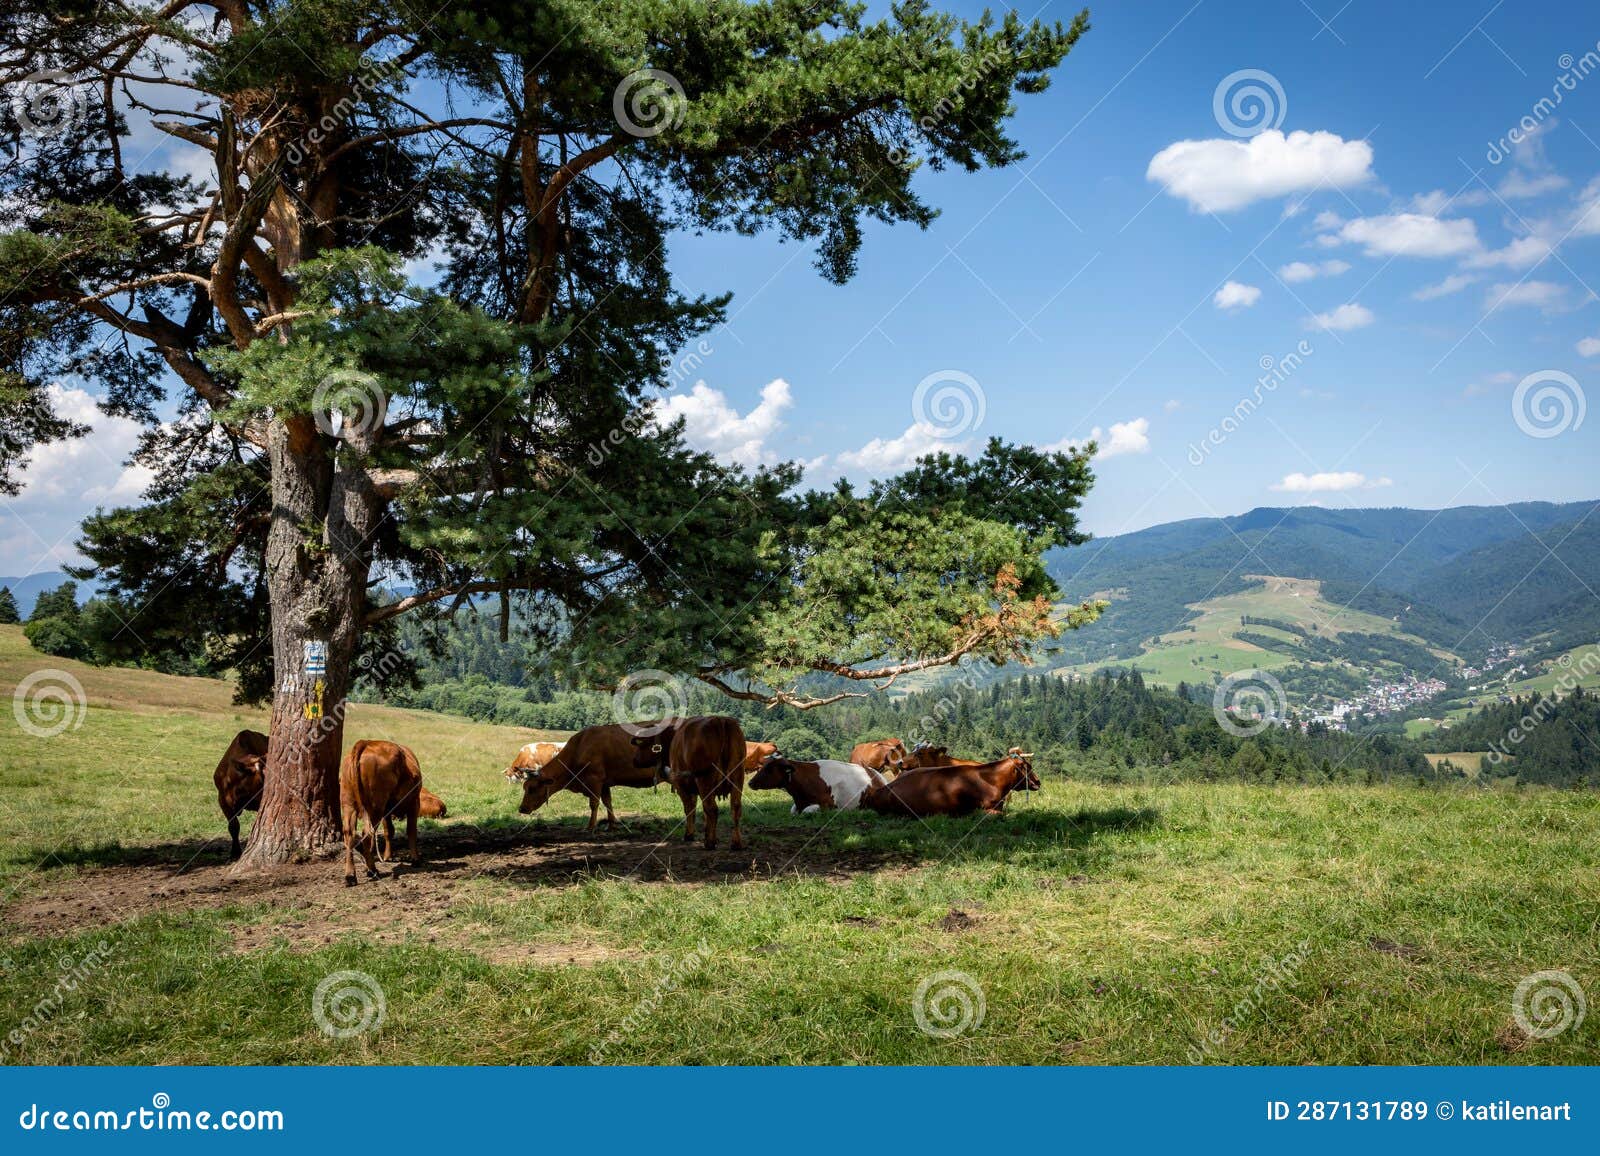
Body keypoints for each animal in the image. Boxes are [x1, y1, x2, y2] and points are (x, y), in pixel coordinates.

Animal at [340, 739, 424, 886]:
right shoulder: (414, 803)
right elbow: (411, 830)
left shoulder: (386, 810)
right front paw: (415, 859)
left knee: (349, 834)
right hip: (375, 807)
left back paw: (350, 876)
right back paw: (372, 870)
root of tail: (366, 743)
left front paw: (387, 856)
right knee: (366, 833)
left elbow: (388, 831)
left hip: (349, 804)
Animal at [512, 724, 663, 830]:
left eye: (532, 788)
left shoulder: (594, 779)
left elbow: (594, 803)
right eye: (524, 787)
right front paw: (611, 825)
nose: (521, 809)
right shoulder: (605, 783)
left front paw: (591, 826)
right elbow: (608, 802)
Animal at [633, 716, 747, 850]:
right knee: (735, 808)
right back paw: (736, 843)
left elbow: (689, 809)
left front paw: (689, 834)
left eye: (642, 744)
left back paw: (710, 843)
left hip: (704, 779)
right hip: (738, 777)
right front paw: (707, 834)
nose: (634, 760)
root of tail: (719, 719)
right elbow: (702, 811)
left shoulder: (681, 784)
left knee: (712, 809)